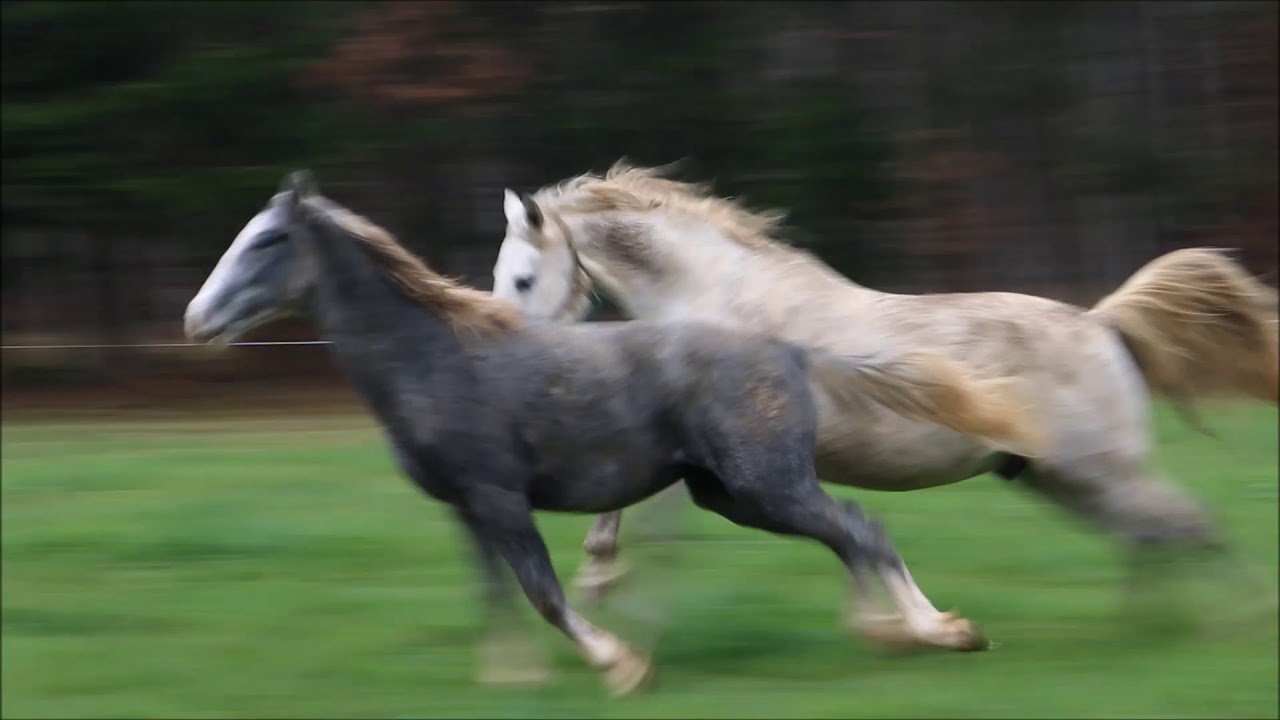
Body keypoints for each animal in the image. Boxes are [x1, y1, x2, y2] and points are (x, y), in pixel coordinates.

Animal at [183, 171, 1047, 695]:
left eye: (268, 241)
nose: (197, 320)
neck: (435, 359)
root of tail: (792, 351)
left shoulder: (503, 499)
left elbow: (545, 590)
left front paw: (622, 662)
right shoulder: (467, 507)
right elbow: (495, 593)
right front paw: (512, 680)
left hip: (765, 486)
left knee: (861, 530)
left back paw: (941, 631)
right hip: (733, 495)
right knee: (853, 530)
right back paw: (893, 630)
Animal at [490, 160, 1279, 651]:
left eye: (525, 277)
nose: (501, 344)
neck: (714, 299)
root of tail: (1102, 323)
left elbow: (647, 528)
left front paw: (614, 597)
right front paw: (609, 593)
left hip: (1100, 470)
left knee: (1187, 524)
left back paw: (1232, 624)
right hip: (1064, 480)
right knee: (1154, 534)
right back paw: (1147, 625)